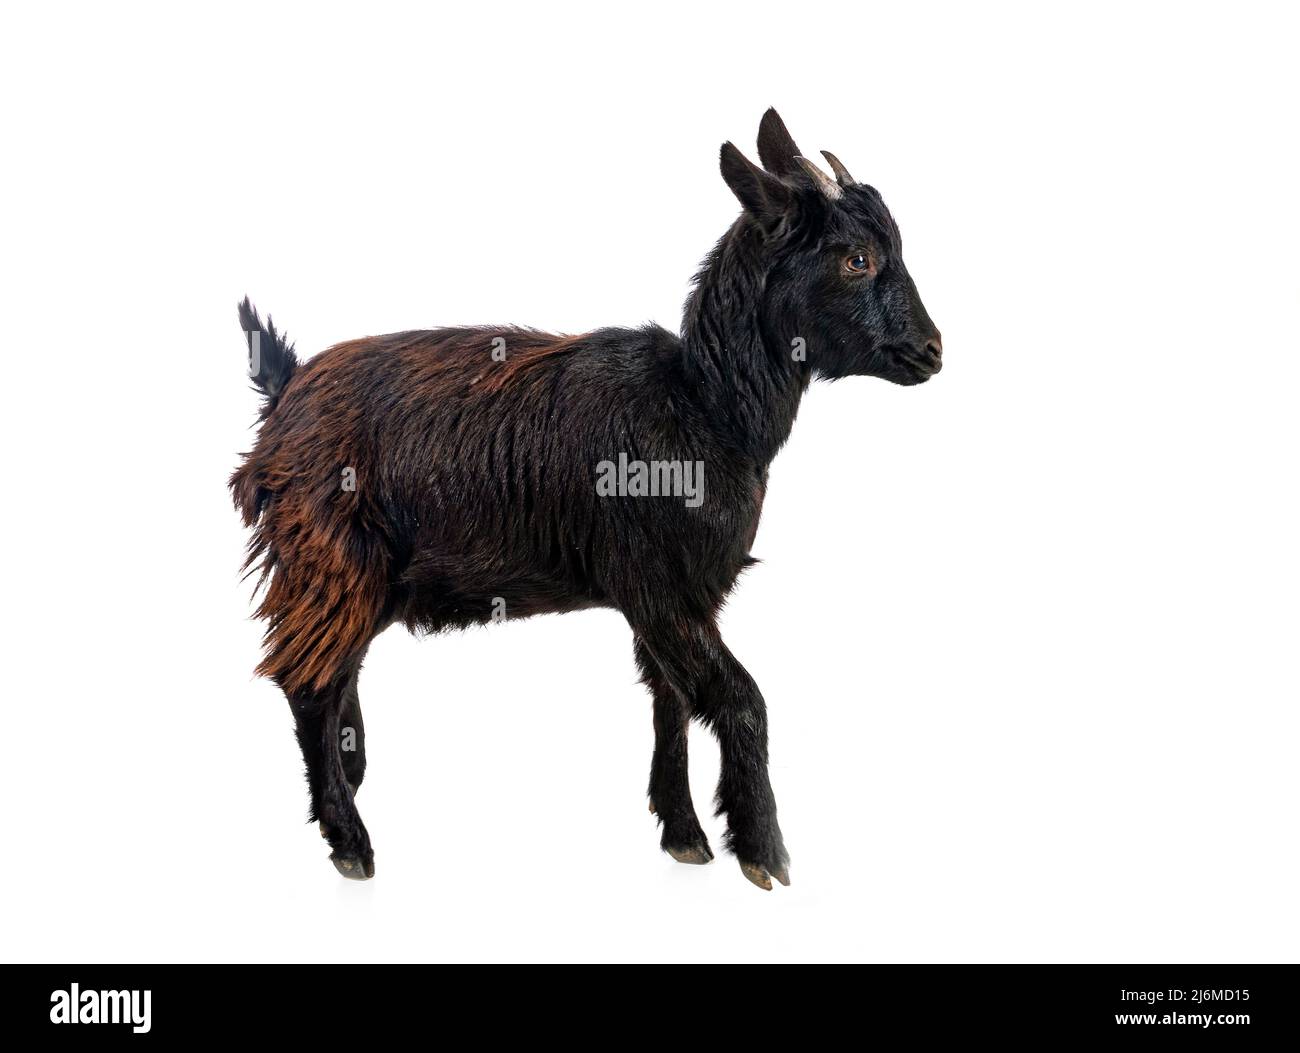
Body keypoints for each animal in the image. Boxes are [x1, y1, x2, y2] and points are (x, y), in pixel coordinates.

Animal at [231, 109, 942, 889]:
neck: (702, 403)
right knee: (310, 682)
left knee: (335, 672)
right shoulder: (657, 582)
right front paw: (765, 853)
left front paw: (685, 834)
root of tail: (285, 389)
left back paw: (349, 782)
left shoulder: (683, 594)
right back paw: (349, 839)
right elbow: (737, 697)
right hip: (332, 554)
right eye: (856, 259)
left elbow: (672, 701)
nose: (932, 350)